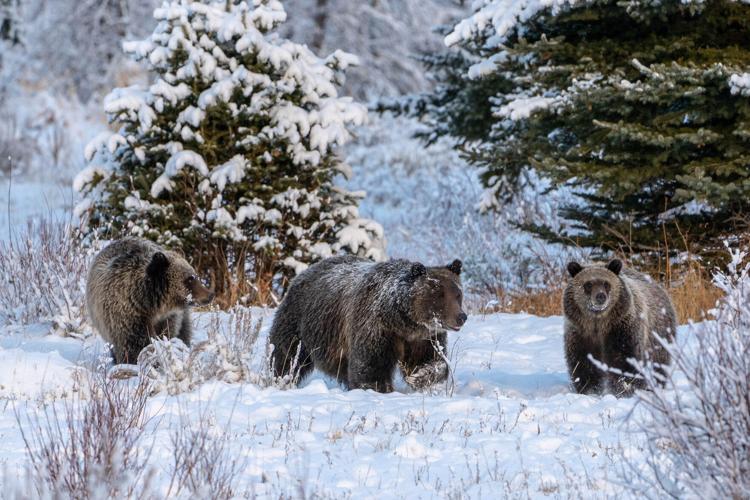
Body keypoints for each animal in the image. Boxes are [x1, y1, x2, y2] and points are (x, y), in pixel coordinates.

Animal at [86, 238, 214, 364]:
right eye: (189, 279)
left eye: (195, 275)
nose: (210, 295)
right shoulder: (128, 317)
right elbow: (136, 345)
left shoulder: (168, 318)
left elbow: (168, 334)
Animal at [269, 255, 467, 393]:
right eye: (439, 295)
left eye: (458, 294)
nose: (461, 317)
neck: (402, 321)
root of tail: (304, 273)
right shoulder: (376, 328)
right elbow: (371, 366)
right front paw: (380, 388)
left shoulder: (424, 337)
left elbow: (432, 360)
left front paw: (419, 376)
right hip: (302, 322)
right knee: (286, 354)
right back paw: (280, 378)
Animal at [563, 259, 677, 397]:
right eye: (588, 284)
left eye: (606, 283)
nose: (600, 296)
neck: (598, 323)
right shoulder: (581, 334)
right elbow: (584, 364)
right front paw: (589, 390)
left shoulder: (621, 329)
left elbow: (624, 361)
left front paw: (625, 389)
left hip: (658, 331)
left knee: (659, 361)